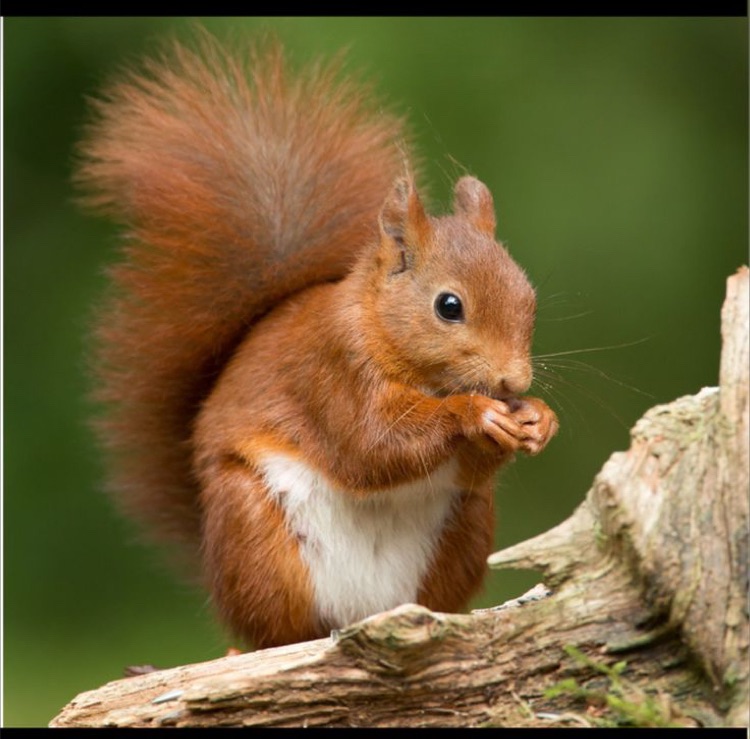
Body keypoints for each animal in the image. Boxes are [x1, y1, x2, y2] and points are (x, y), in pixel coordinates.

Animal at [77, 31, 558, 650]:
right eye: (448, 306)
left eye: (529, 296)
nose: (513, 380)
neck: (382, 330)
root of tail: (359, 612)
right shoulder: (332, 368)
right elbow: (371, 444)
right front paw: (475, 412)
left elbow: (462, 466)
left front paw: (538, 418)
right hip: (253, 530)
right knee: (274, 630)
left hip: (465, 530)